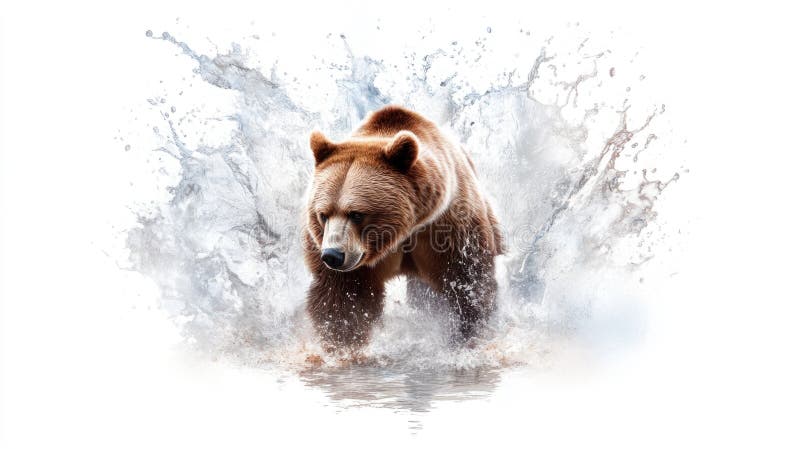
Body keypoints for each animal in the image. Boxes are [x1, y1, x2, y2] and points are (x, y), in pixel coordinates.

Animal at [302, 105, 503, 351]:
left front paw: (465, 336)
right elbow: (342, 299)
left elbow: (466, 283)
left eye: (357, 214)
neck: (403, 230)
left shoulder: (447, 228)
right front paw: (343, 346)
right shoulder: (348, 261)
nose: (332, 255)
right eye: (323, 214)